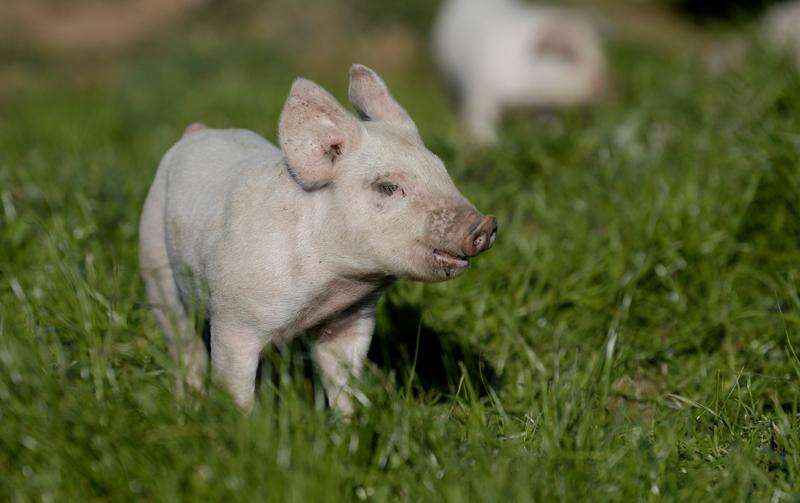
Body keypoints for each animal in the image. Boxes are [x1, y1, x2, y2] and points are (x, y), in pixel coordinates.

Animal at [139, 65, 497, 413]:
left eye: (442, 170)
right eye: (388, 187)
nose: (485, 224)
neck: (333, 285)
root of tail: (196, 131)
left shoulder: (350, 319)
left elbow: (342, 377)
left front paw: (350, 421)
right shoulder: (234, 320)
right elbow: (234, 385)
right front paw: (245, 424)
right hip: (155, 261)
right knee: (183, 342)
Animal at [432, 0, 608, 144]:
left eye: (598, 51)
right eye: (568, 54)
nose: (602, 86)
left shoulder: (545, 109)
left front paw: (553, 133)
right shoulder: (482, 91)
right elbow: (481, 119)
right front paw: (489, 143)